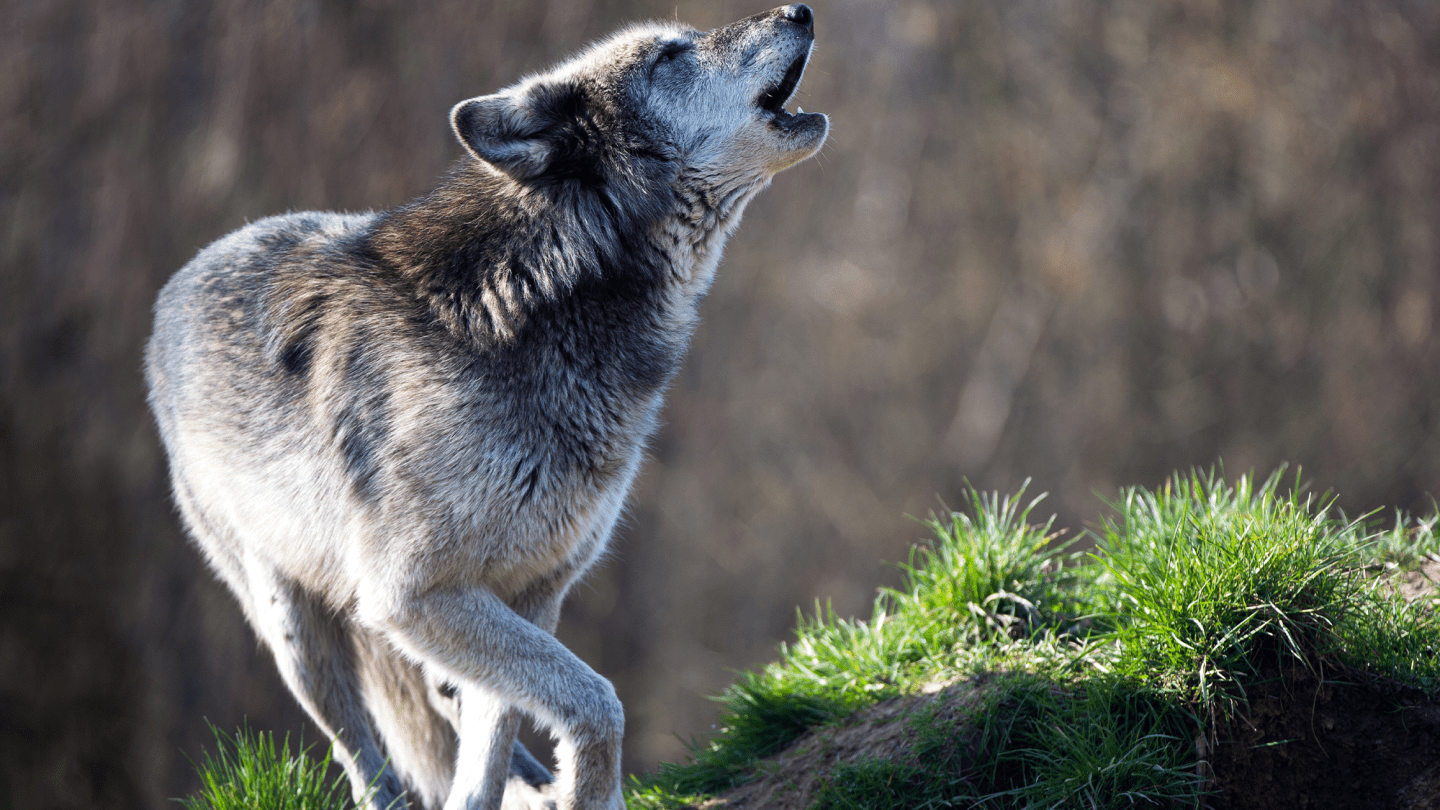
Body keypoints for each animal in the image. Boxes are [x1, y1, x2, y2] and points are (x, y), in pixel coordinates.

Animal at [144, 5, 826, 810]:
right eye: (670, 54)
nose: (799, 10)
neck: (537, 302)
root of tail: (175, 286)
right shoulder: (412, 595)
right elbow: (596, 701)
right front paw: (590, 792)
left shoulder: (530, 590)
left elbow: (495, 737)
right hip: (297, 630)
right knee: (361, 751)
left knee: (449, 701)